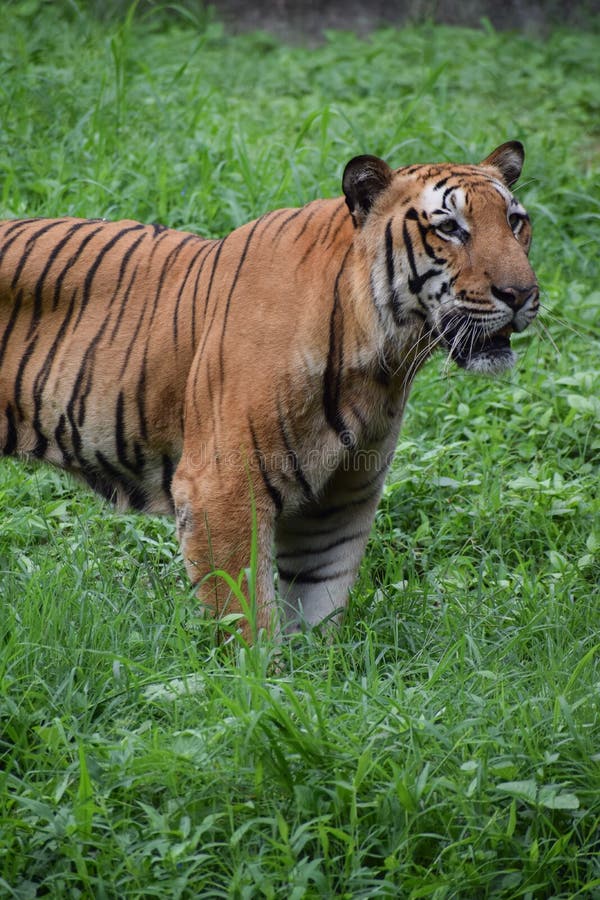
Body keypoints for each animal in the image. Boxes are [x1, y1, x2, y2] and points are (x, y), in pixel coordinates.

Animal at [0, 141, 539, 642]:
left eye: (515, 222)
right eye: (449, 228)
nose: (522, 294)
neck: (383, 359)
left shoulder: (341, 498)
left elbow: (320, 599)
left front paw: (319, 677)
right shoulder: (221, 487)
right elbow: (247, 616)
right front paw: (256, 678)